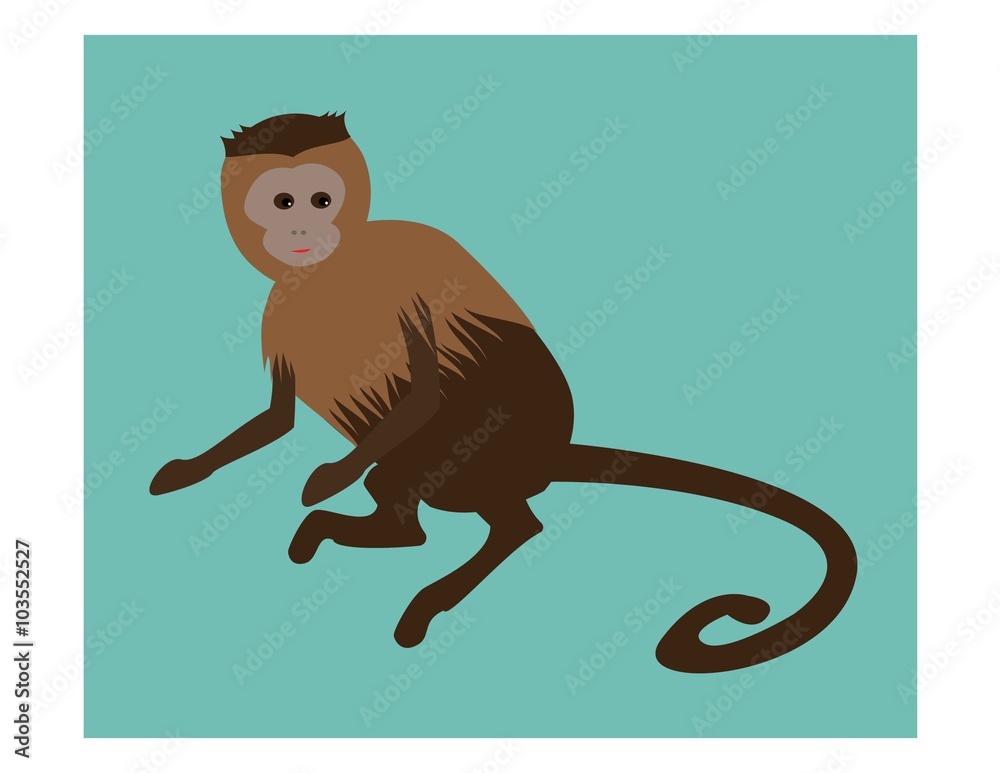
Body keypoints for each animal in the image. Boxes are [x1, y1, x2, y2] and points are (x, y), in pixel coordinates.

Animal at [150, 112, 856, 674]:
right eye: (283, 203)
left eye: (321, 199)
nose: (303, 232)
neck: (332, 270)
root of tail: (545, 452)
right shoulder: (278, 312)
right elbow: (276, 419)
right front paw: (187, 471)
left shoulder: (401, 276)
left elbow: (424, 395)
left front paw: (329, 477)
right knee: (404, 491)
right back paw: (377, 533)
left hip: (493, 442)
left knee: (471, 485)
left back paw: (428, 572)